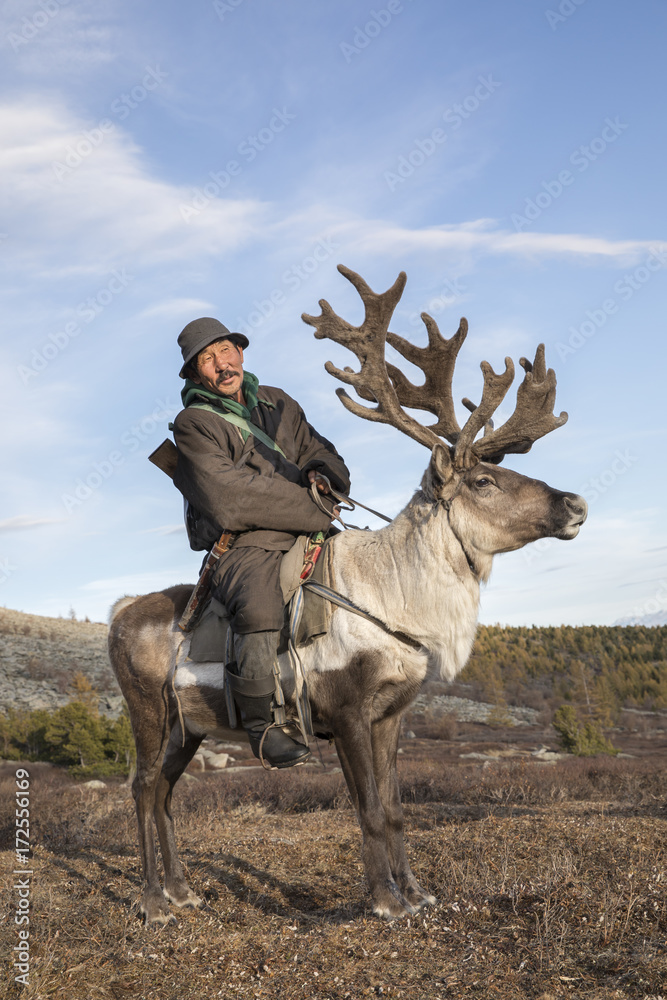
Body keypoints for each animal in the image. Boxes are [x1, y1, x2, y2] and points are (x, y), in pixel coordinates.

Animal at [108, 265, 587, 925]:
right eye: (485, 481)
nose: (575, 503)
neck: (399, 600)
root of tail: (118, 615)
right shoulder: (347, 711)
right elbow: (368, 810)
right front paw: (385, 901)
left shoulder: (391, 714)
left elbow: (395, 808)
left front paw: (416, 893)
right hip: (149, 714)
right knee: (142, 787)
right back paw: (154, 901)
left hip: (191, 726)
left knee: (165, 793)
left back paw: (182, 890)